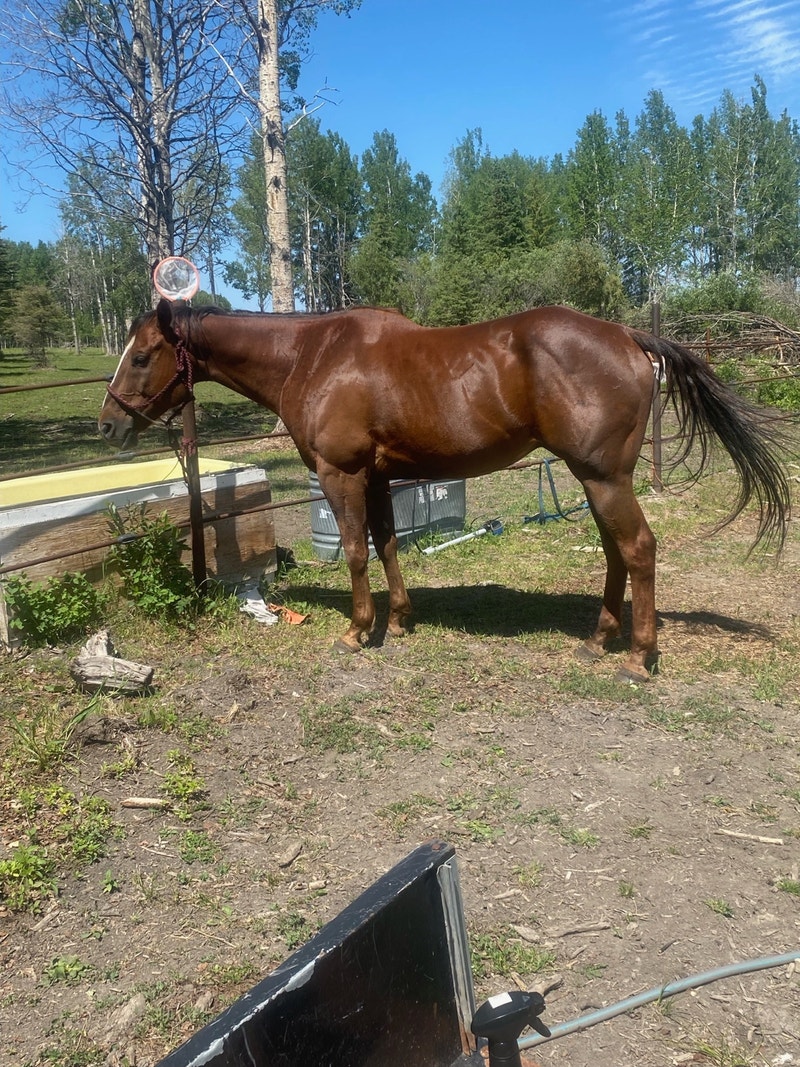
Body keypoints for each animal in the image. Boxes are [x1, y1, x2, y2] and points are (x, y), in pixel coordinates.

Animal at [98, 300, 791, 682]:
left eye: (142, 356)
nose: (107, 425)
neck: (311, 355)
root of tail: (628, 336)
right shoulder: (378, 476)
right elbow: (385, 544)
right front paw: (401, 620)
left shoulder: (342, 474)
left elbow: (356, 552)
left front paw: (358, 631)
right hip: (595, 479)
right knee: (616, 551)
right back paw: (599, 641)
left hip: (603, 477)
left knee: (639, 549)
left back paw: (637, 658)